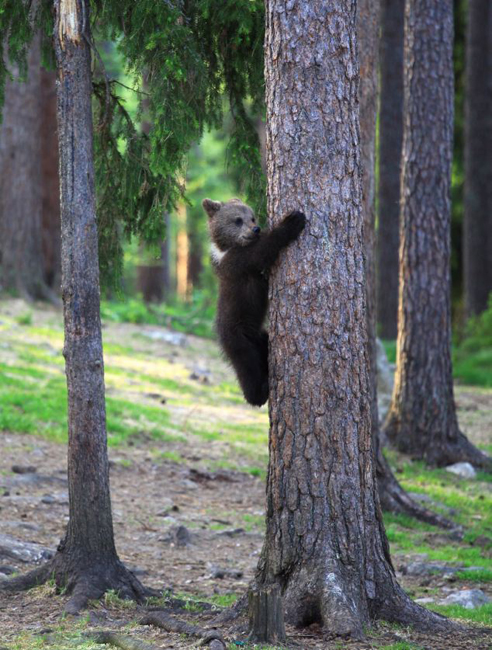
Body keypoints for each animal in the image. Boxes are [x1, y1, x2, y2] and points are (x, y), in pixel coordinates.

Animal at [202, 197, 306, 406]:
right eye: (237, 220)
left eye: (252, 217)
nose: (256, 229)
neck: (226, 248)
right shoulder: (239, 262)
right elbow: (263, 250)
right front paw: (292, 221)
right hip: (237, 336)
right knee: (247, 365)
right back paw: (259, 392)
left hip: (259, 336)